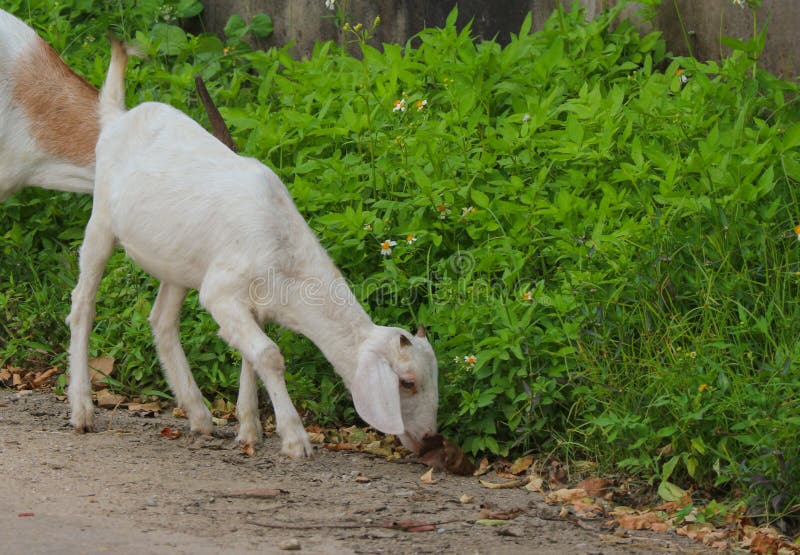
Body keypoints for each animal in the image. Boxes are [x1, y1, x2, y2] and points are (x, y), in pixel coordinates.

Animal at [67, 39, 439, 458]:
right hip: (101, 221)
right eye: (407, 382)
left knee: (162, 320)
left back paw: (199, 415)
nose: (430, 440)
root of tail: (117, 116)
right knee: (83, 304)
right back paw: (82, 409)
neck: (286, 255)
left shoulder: (255, 304)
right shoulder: (222, 293)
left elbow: (250, 355)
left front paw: (249, 429)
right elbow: (269, 355)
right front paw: (294, 438)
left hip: (179, 261)